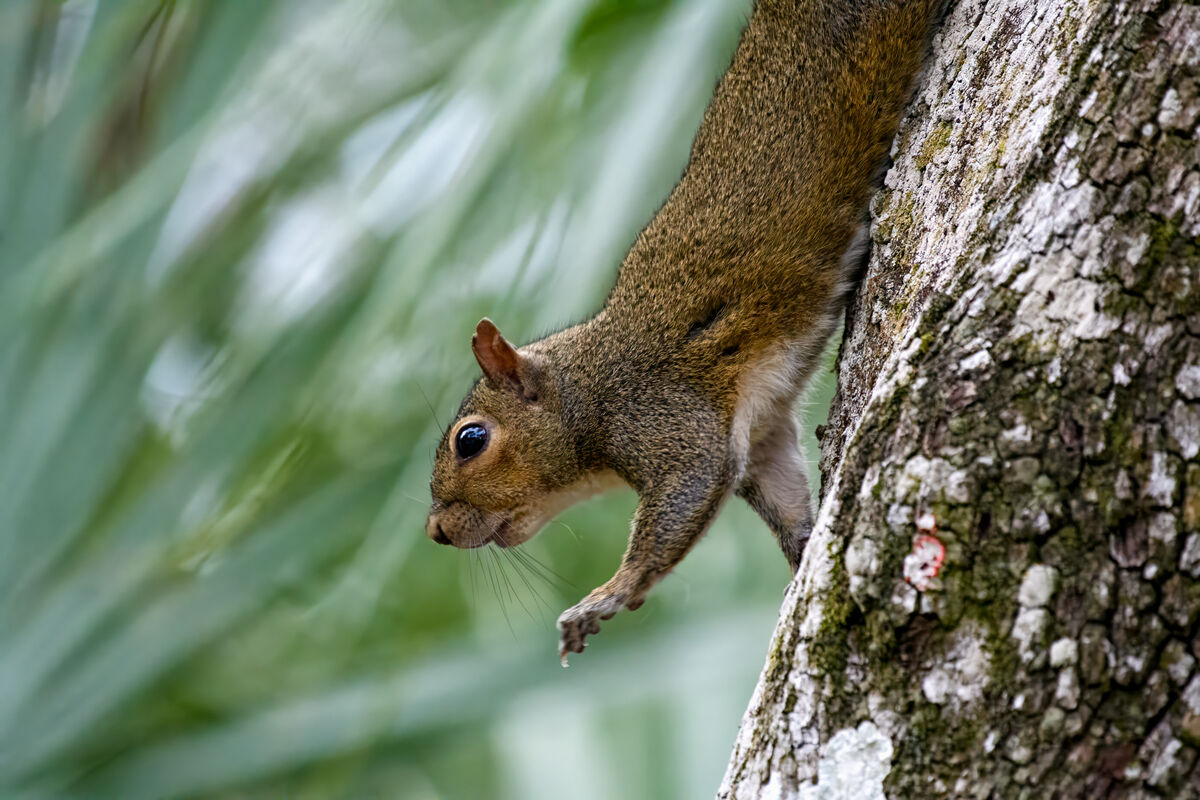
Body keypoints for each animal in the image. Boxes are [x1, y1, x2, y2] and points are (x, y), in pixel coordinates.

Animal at [426, 0, 942, 661]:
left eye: (470, 440)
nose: (436, 530)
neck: (587, 390)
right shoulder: (760, 423)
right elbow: (779, 493)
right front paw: (804, 551)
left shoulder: (663, 412)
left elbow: (691, 484)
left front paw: (609, 594)